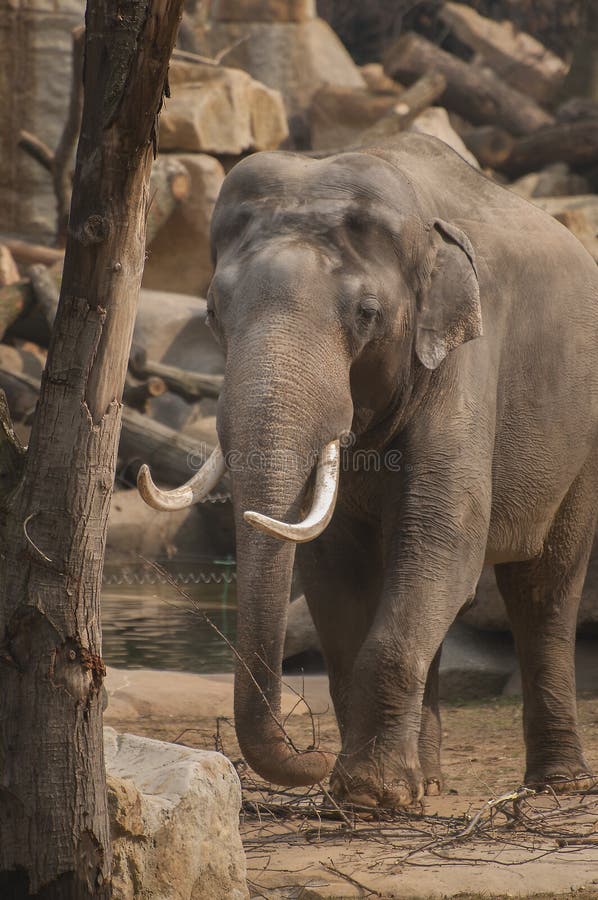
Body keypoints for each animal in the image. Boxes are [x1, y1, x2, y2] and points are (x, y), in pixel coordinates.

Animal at [138, 132, 598, 808]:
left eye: (366, 314)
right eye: (214, 313)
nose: (310, 753)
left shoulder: (467, 360)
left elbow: (444, 535)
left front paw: (366, 794)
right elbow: (335, 566)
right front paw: (365, 791)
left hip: (582, 441)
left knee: (543, 588)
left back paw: (556, 784)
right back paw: (428, 782)